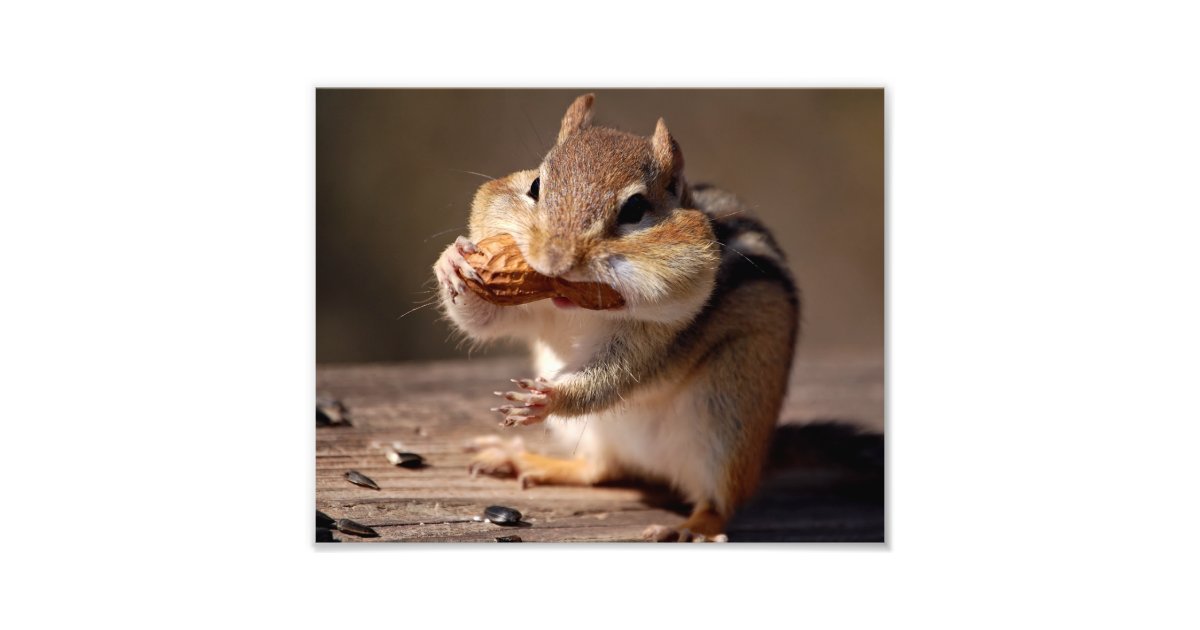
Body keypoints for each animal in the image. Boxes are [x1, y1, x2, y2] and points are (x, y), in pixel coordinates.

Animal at [434, 94, 800, 541]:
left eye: (635, 209)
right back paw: (527, 460)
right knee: (599, 470)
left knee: (719, 501)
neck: (578, 309)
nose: (553, 262)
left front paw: (550, 398)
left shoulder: (659, 332)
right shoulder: (528, 306)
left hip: (730, 413)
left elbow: (616, 377)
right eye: (536, 186)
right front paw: (452, 260)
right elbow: (482, 321)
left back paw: (691, 527)